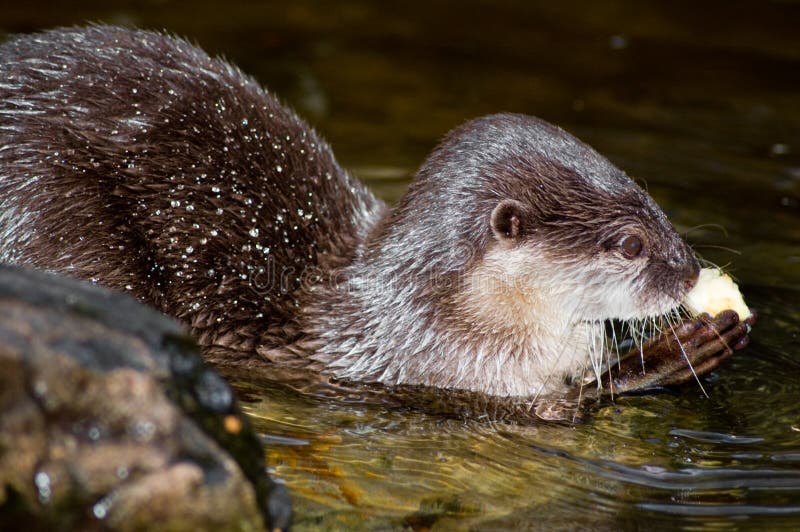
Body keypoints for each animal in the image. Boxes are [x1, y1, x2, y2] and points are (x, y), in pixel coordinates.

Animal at [0, 26, 752, 400]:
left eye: (650, 200)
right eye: (629, 244)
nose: (689, 271)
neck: (422, 308)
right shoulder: (441, 365)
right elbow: (564, 401)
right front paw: (681, 349)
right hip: (52, 213)